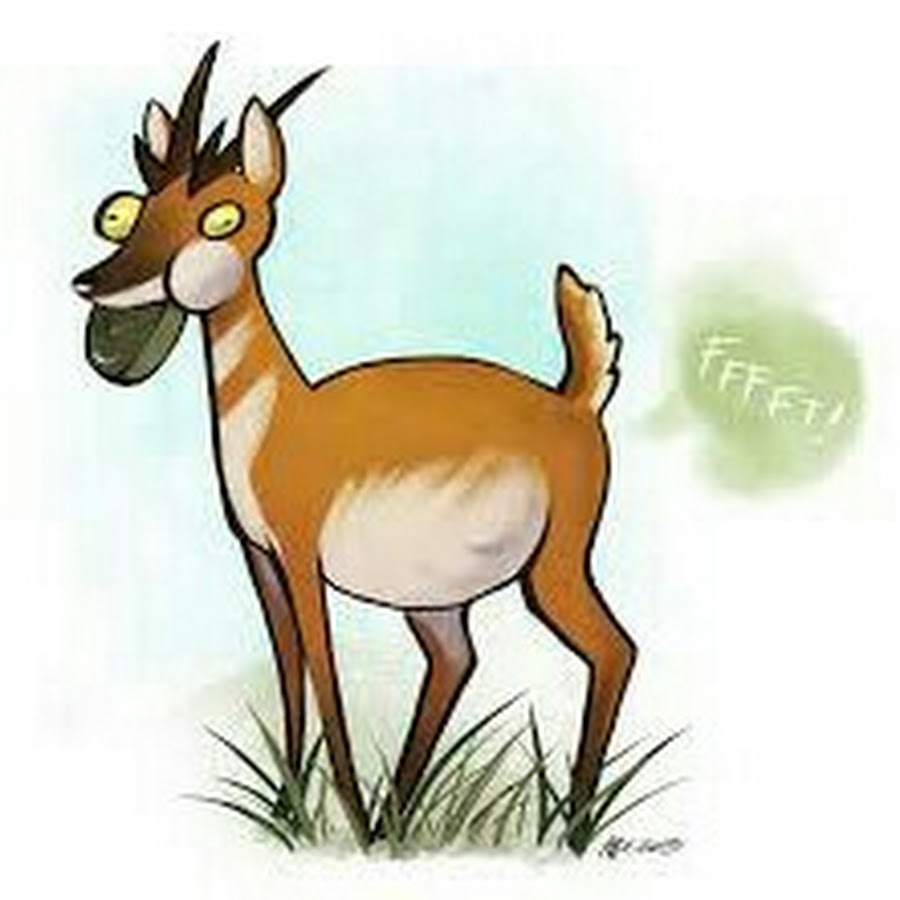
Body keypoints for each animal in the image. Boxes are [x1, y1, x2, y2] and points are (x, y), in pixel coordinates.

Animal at [72, 45, 636, 853]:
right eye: (125, 211)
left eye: (223, 215)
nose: (95, 282)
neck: (281, 417)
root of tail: (573, 397)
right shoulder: (260, 559)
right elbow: (290, 680)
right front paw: (290, 817)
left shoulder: (303, 560)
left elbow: (323, 675)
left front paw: (335, 818)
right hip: (438, 602)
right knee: (457, 661)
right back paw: (400, 822)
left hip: (554, 569)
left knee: (613, 650)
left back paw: (567, 832)